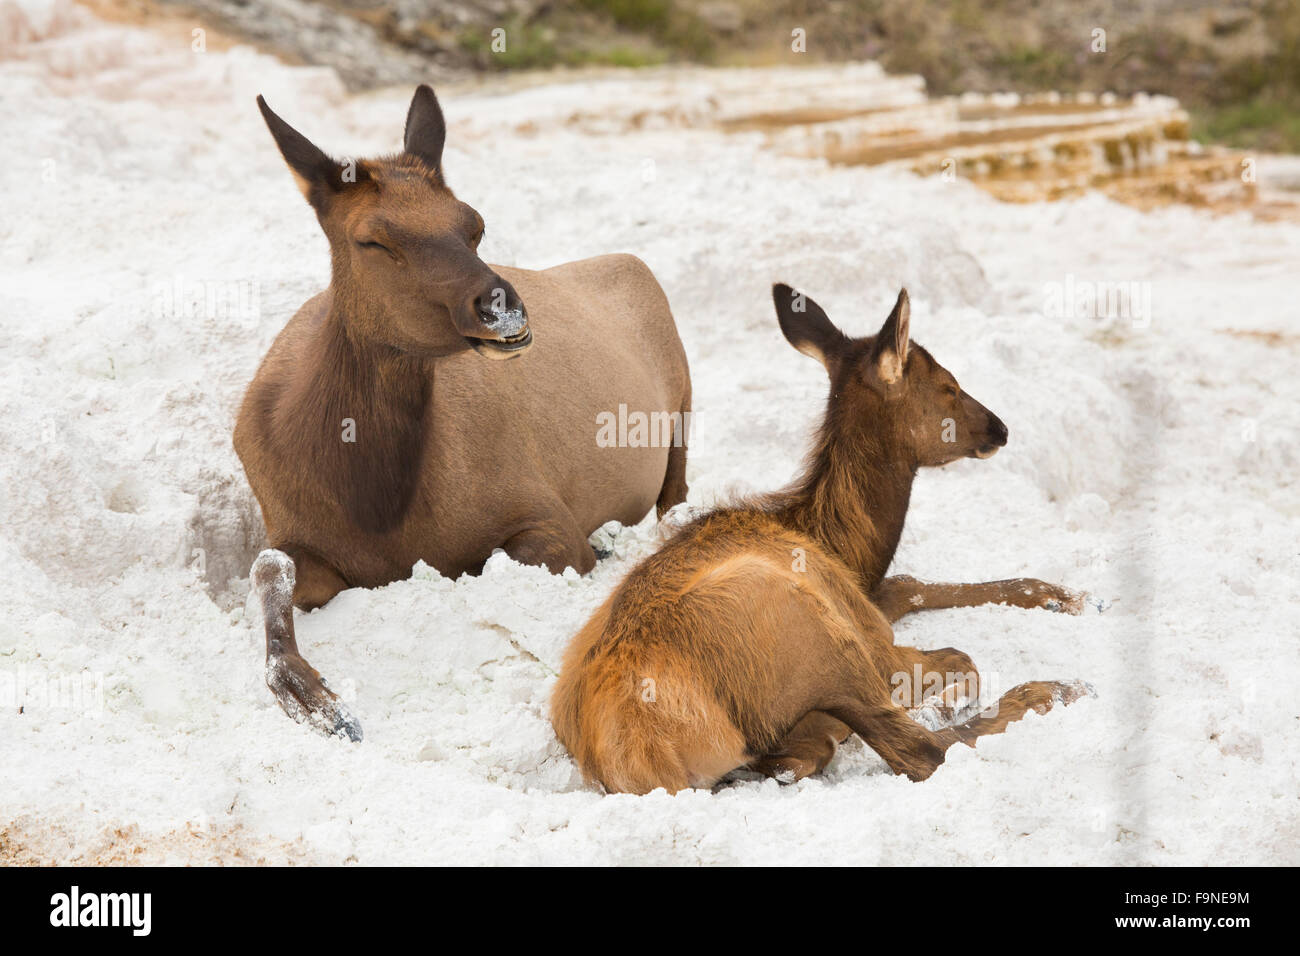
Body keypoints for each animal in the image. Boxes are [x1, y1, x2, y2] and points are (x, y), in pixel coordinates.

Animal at [236, 86, 691, 741]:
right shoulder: (293, 531)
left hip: (681, 404)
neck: (375, 502)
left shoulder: (546, 514)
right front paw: (315, 696)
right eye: (372, 239)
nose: (502, 308)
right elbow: (267, 568)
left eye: (474, 225)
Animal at [550, 285, 1090, 794]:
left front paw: (1060, 595)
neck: (834, 540)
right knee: (917, 751)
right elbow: (962, 659)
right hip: (812, 626)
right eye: (949, 386)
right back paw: (1056, 690)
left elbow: (911, 582)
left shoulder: (865, 594)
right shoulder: (872, 635)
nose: (1000, 428)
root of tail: (643, 756)